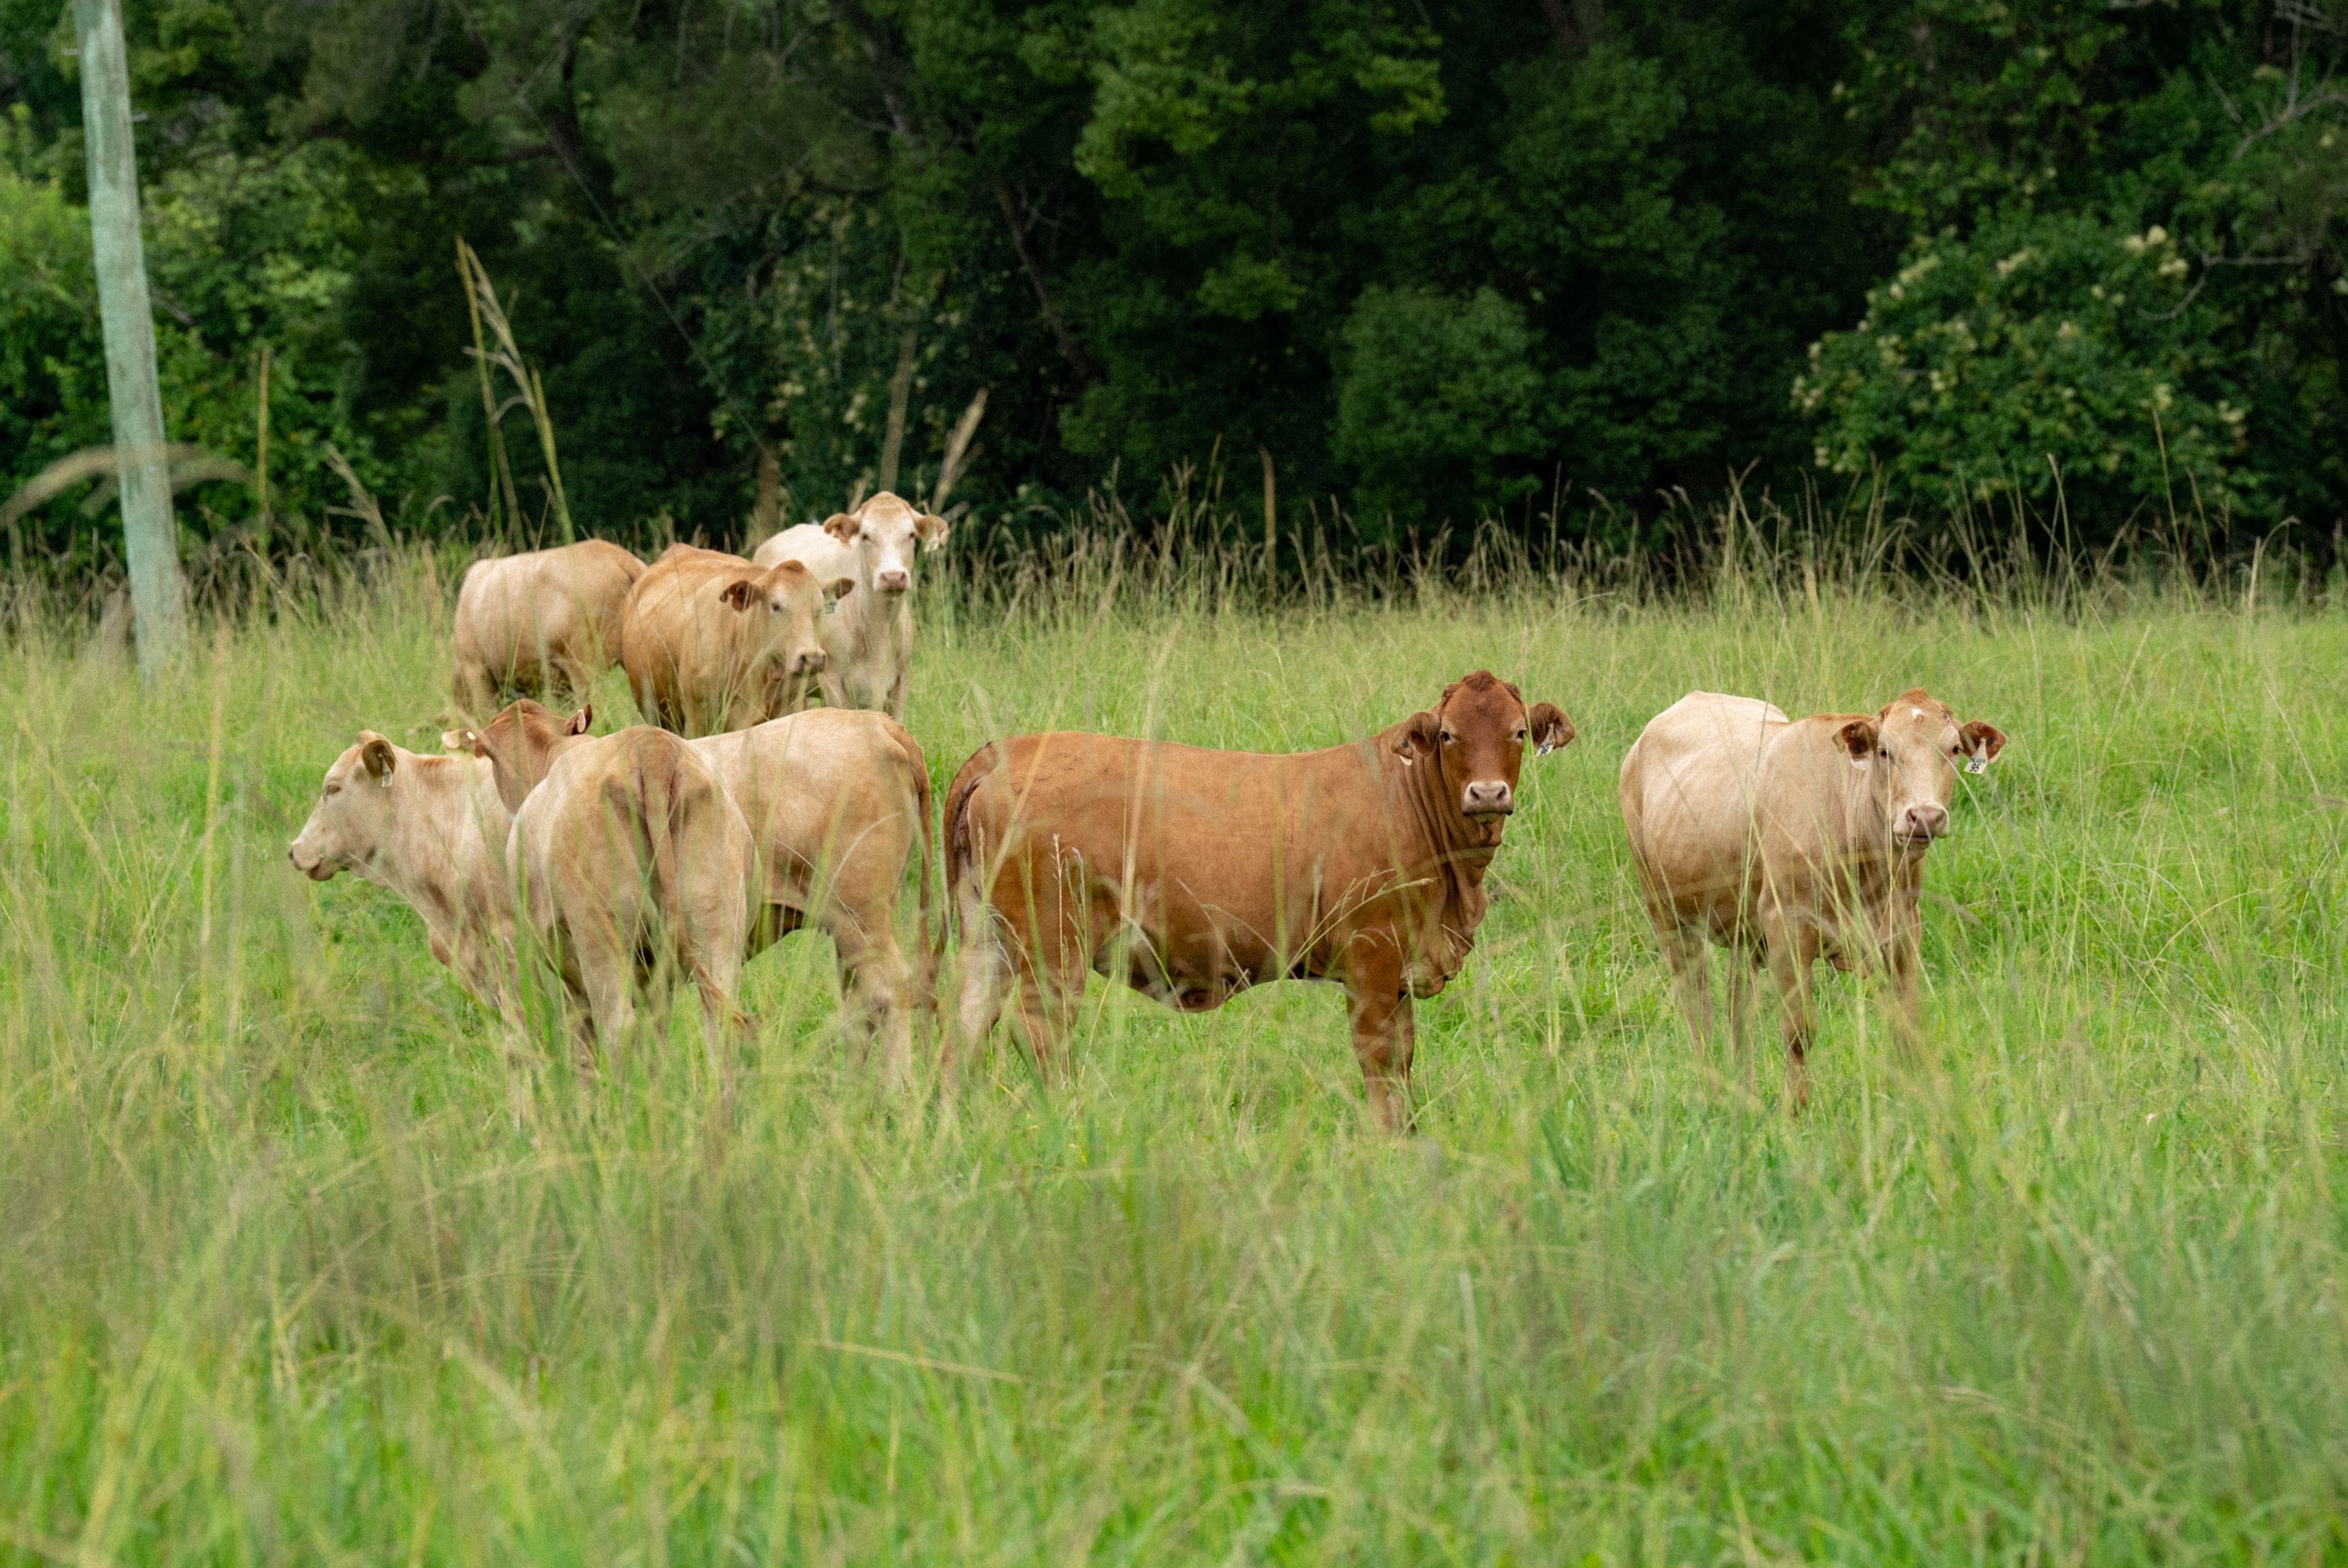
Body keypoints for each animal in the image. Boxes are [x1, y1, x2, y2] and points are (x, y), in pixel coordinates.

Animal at [753, 491, 949, 721]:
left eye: (910, 535)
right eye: (865, 536)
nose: (892, 577)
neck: (879, 629)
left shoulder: (901, 682)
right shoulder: (833, 681)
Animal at [941, 671, 1574, 1130]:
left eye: (1519, 732)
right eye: (1447, 735)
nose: (1488, 794)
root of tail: (1004, 752)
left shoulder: (1397, 973)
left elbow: (1403, 1056)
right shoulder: (1372, 957)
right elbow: (1379, 1059)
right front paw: (1388, 1140)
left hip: (988, 938)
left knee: (965, 1026)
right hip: (1052, 946)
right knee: (1038, 1031)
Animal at [1619, 688, 2007, 1106]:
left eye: (1953, 749)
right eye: (1885, 751)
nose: (1924, 816)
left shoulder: (1904, 929)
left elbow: (1906, 1028)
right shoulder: (1788, 929)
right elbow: (1798, 1033)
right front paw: (1795, 1110)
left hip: (1744, 929)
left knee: (1738, 1006)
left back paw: (1746, 1096)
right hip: (1666, 914)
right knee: (1698, 1006)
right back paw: (1713, 1095)